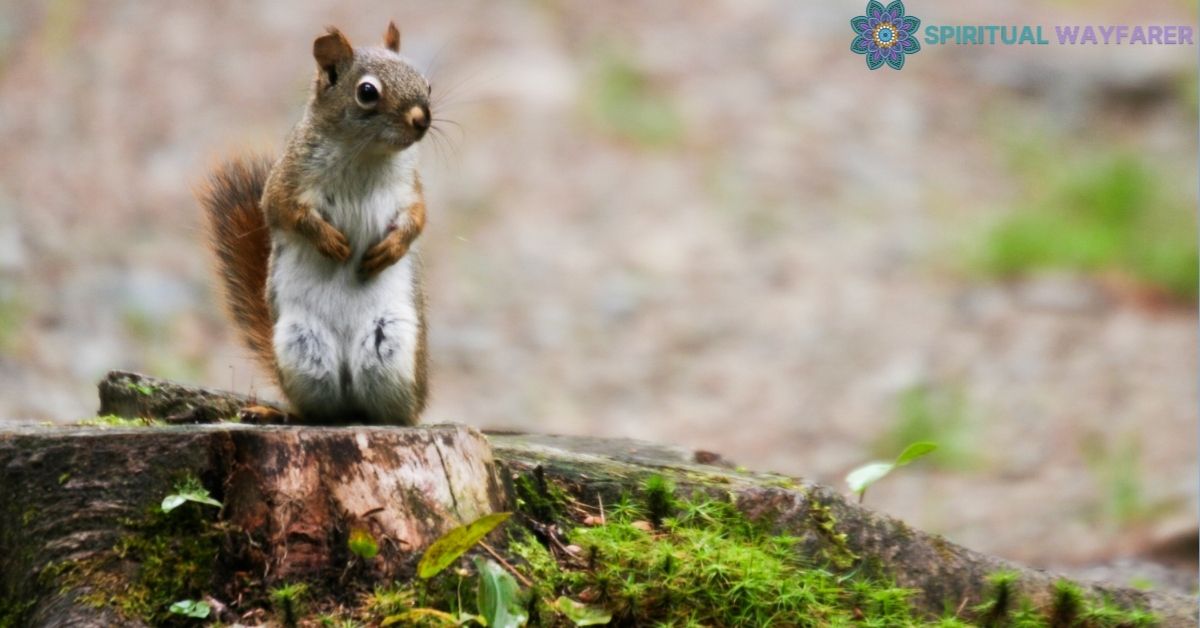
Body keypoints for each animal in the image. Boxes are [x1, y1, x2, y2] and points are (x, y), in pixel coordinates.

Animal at [198, 22, 432, 425]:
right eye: (367, 92)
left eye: (426, 82)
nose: (423, 119)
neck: (365, 155)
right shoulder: (285, 183)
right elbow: (285, 212)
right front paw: (329, 241)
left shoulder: (409, 191)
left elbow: (417, 219)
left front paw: (390, 249)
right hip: (302, 346)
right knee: (314, 411)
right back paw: (281, 414)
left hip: (391, 346)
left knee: (396, 414)